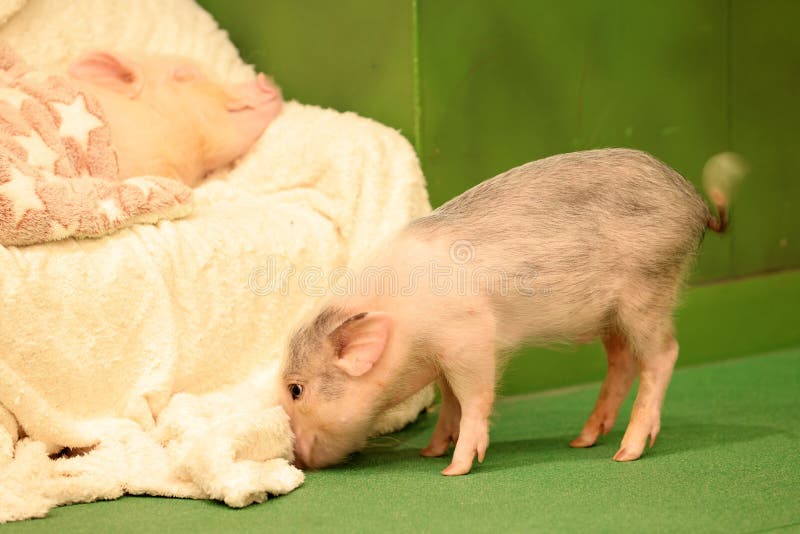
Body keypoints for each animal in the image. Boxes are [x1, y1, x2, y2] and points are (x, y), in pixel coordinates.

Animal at [280, 148, 745, 475]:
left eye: (296, 390)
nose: (295, 459)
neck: (408, 328)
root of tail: (697, 204)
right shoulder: (445, 359)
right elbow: (450, 402)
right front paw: (430, 451)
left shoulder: (469, 340)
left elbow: (473, 398)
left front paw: (453, 469)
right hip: (612, 316)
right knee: (623, 363)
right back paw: (582, 441)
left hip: (647, 292)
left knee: (663, 355)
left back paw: (625, 453)